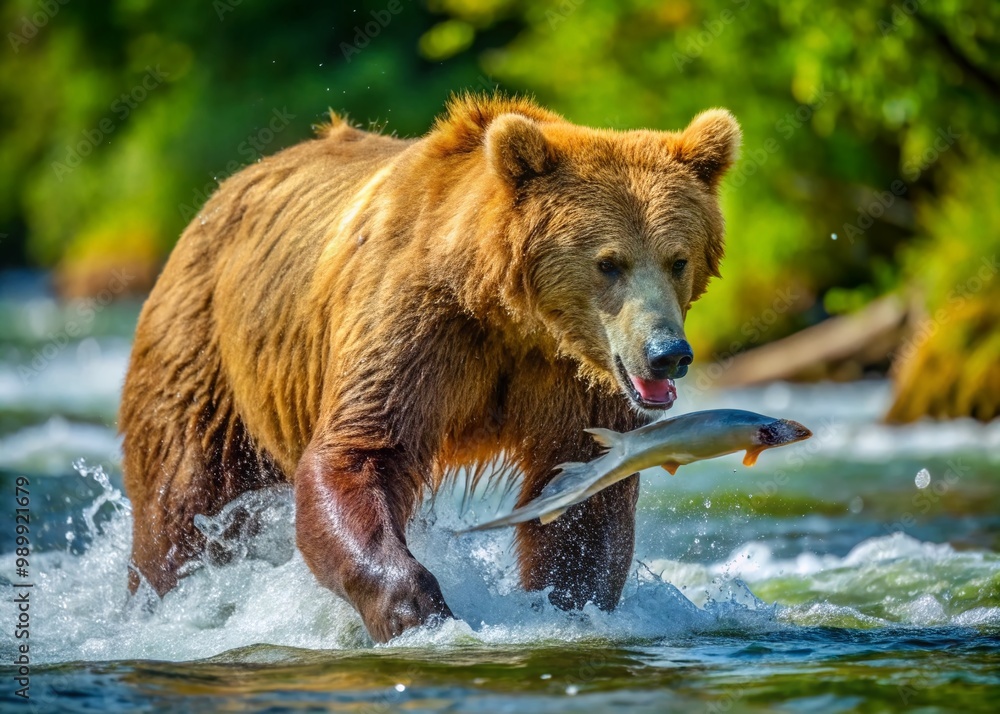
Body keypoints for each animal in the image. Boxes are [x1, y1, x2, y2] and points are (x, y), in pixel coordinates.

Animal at [119, 94, 741, 642]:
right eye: (609, 263)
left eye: (677, 258)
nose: (667, 353)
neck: (508, 313)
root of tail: (223, 192)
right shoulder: (417, 327)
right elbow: (361, 450)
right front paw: (419, 611)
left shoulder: (572, 379)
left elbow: (582, 500)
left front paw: (569, 605)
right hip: (203, 352)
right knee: (180, 502)